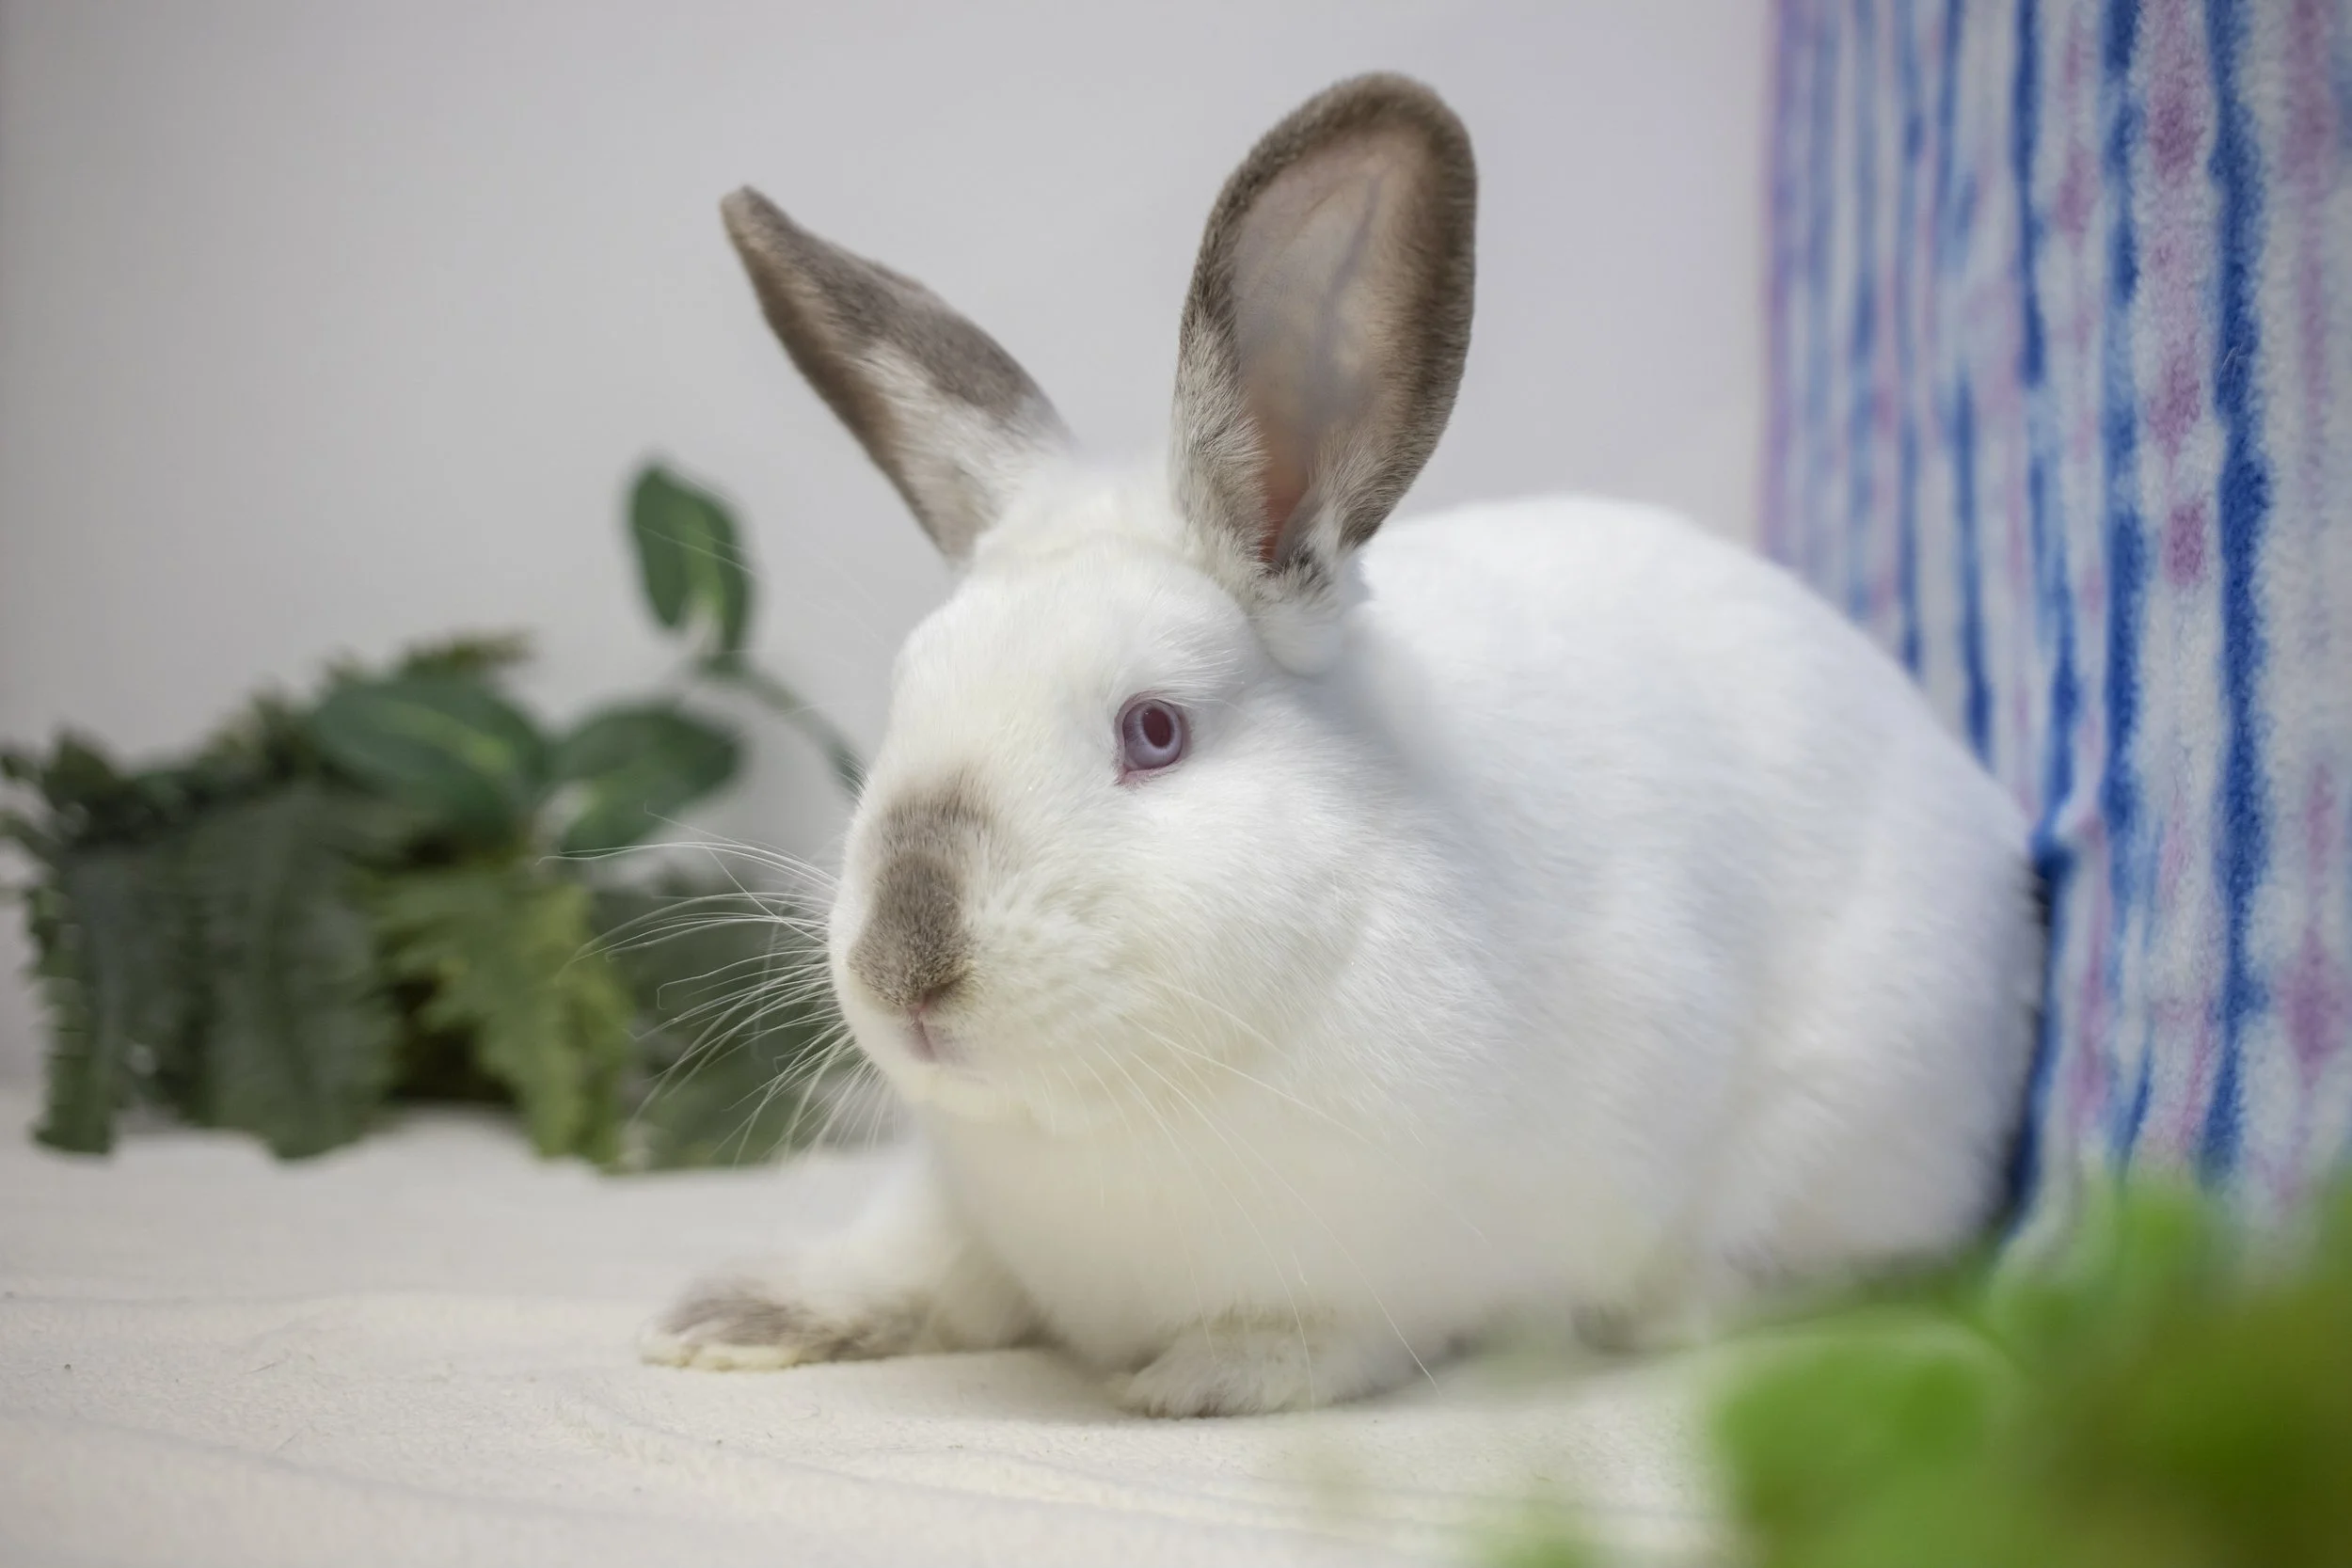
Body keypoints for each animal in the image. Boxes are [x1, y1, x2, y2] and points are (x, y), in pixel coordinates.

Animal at [639, 72, 2042, 1417]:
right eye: (906, 691)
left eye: (1154, 729)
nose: (901, 963)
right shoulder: (957, 1203)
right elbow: (913, 1259)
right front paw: (732, 1316)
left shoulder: (1434, 1260)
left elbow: (1341, 1331)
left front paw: (1206, 1375)